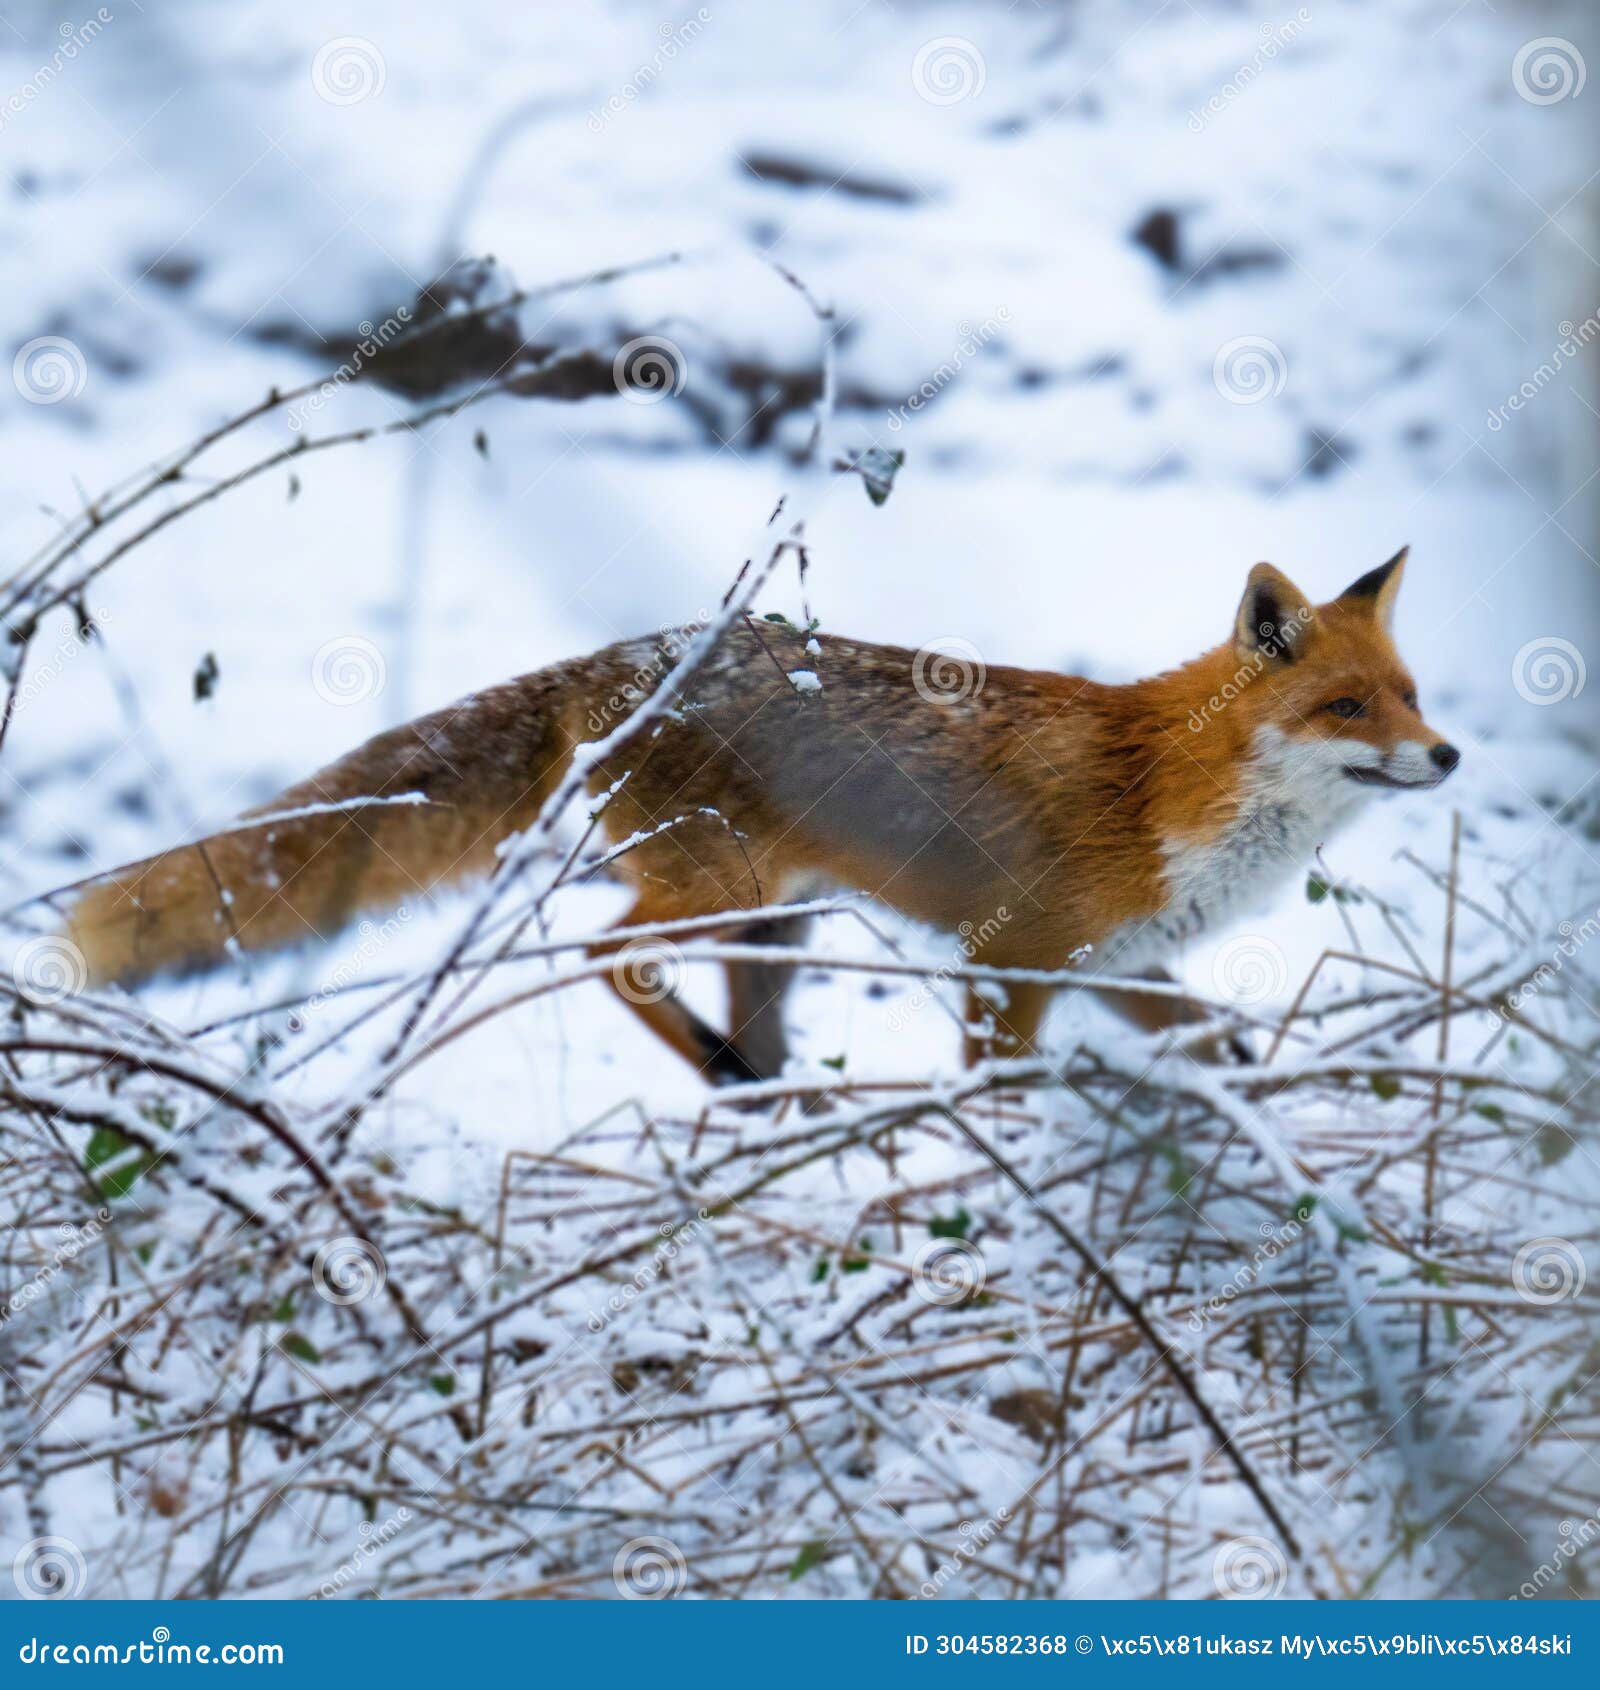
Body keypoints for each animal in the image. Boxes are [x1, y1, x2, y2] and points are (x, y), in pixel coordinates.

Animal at [64, 548, 1457, 1081]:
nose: (1446, 756)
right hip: (714, 891)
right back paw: (725, 1075)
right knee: (600, 951)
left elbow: (1230, 1049)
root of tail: (618, 660)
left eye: (1410, 693)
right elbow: (998, 1087)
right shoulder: (1009, 962)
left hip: (771, 927)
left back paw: (759, 1100)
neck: (1164, 782)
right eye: (1345, 707)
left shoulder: (1120, 966)